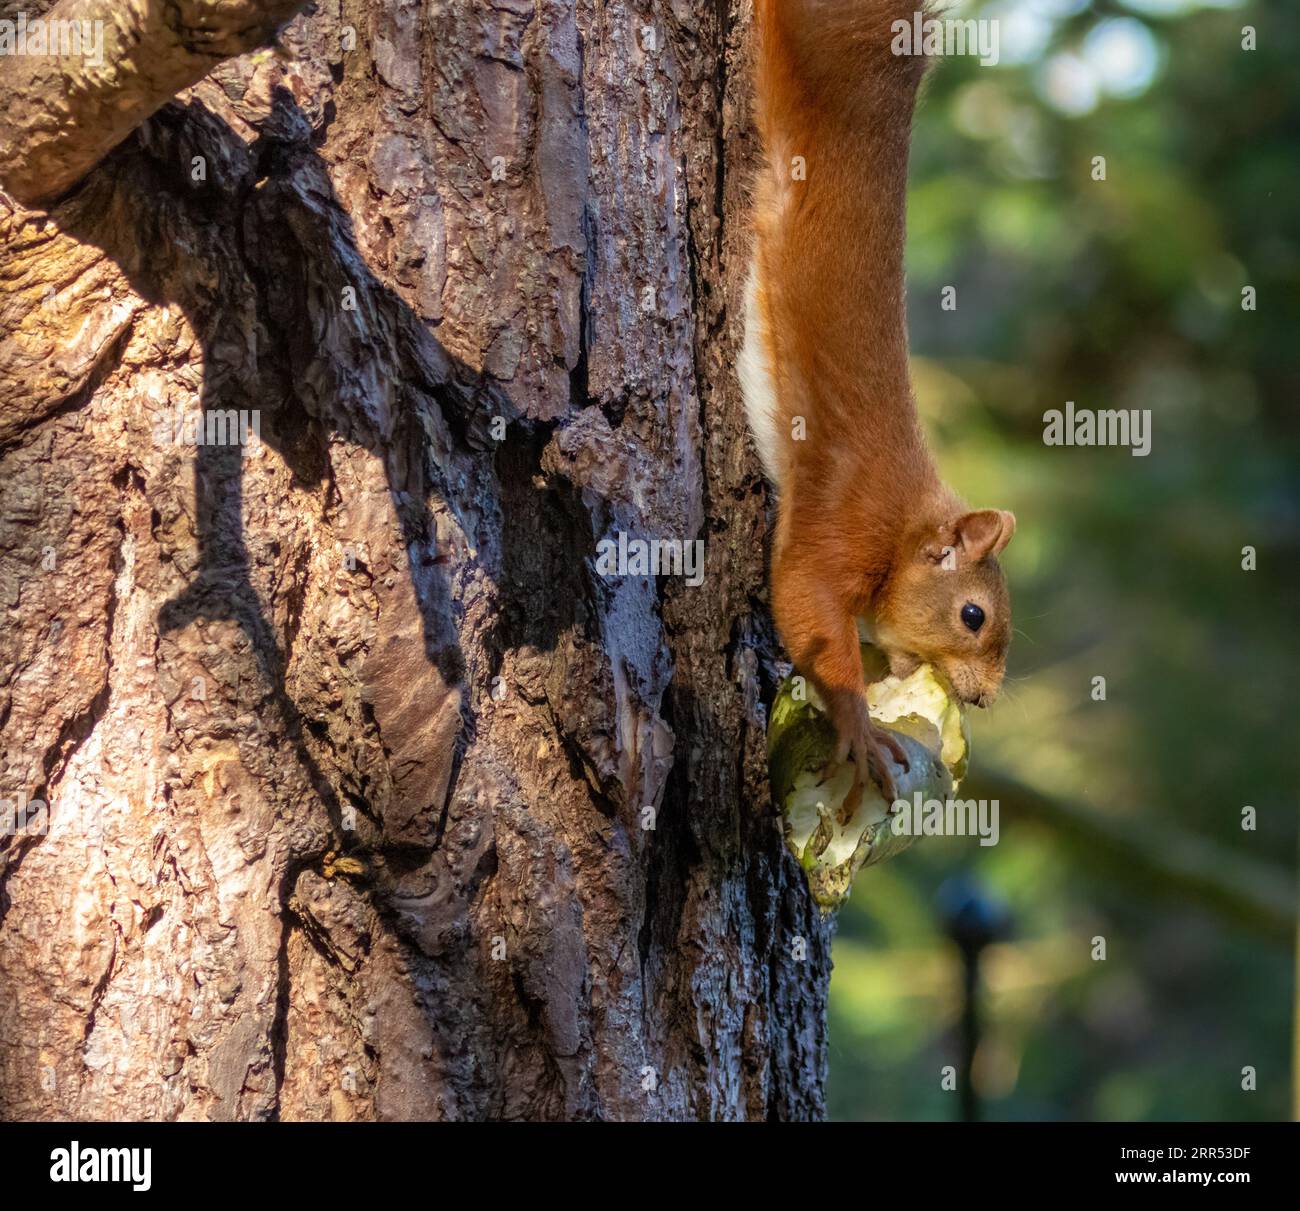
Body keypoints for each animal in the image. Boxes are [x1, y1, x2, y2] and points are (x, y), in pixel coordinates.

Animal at [740, 0, 1016, 804]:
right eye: (972, 614)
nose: (981, 698)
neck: (905, 531)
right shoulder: (848, 520)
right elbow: (804, 602)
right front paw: (860, 726)